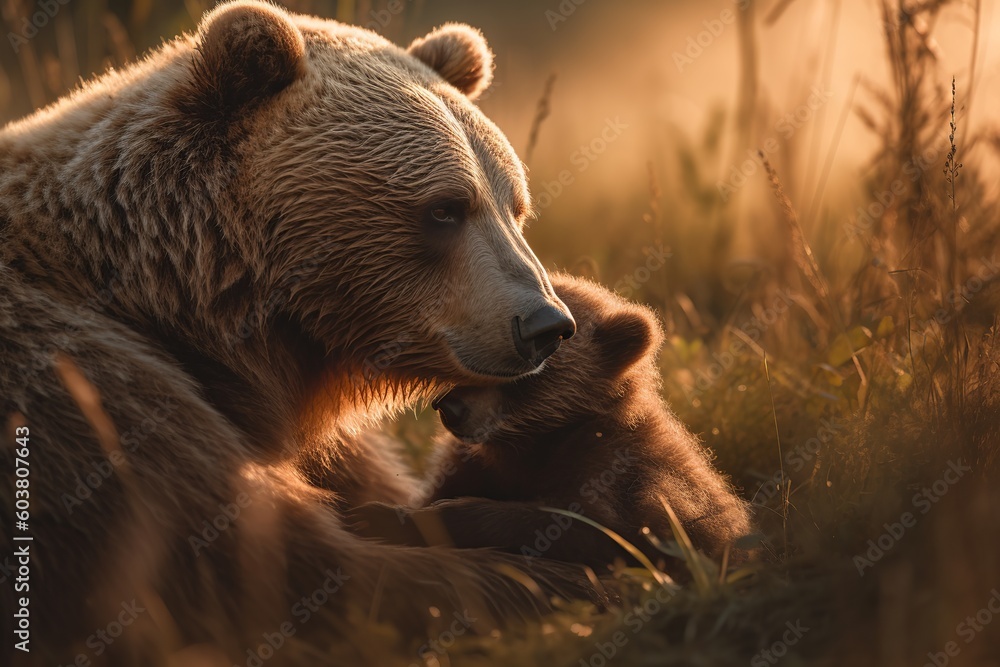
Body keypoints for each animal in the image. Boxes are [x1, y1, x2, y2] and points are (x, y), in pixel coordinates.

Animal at [0, 3, 597, 664]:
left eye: (514, 206)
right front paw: (568, 578)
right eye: (444, 208)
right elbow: (296, 569)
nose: (546, 324)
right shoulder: (81, 393)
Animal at [350, 273, 753, 576]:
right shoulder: (471, 461)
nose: (450, 407)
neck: (533, 440)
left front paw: (389, 516)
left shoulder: (617, 473)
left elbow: (581, 526)